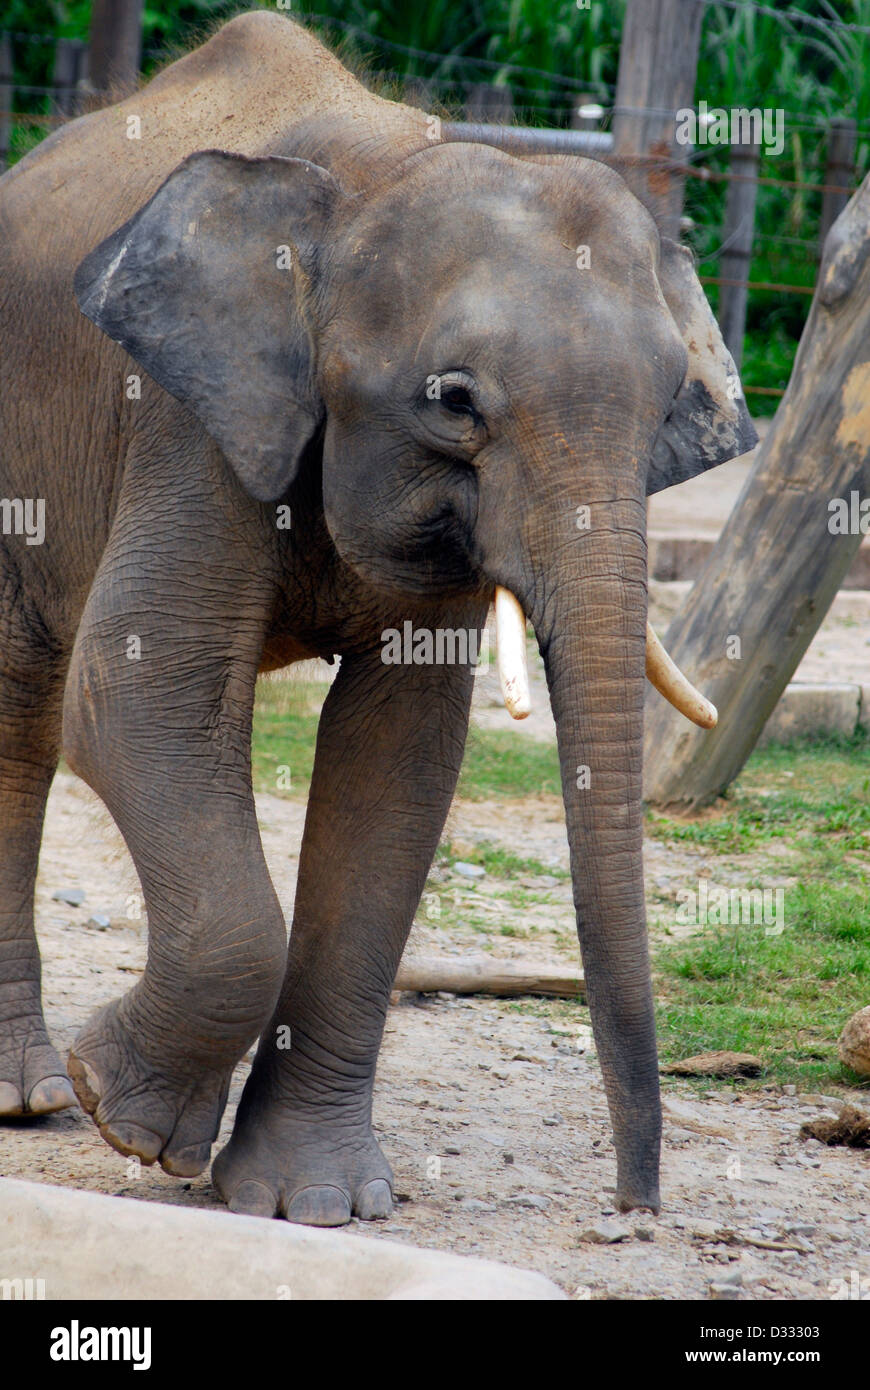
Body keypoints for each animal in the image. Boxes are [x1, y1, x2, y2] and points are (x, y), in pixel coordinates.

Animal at [0, 12, 755, 1224]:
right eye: (454, 401)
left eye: (669, 407)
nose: (636, 1202)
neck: (375, 171)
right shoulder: (190, 420)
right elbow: (139, 691)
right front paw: (132, 1123)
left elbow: (398, 756)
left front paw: (314, 1205)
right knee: (24, 706)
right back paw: (33, 1095)